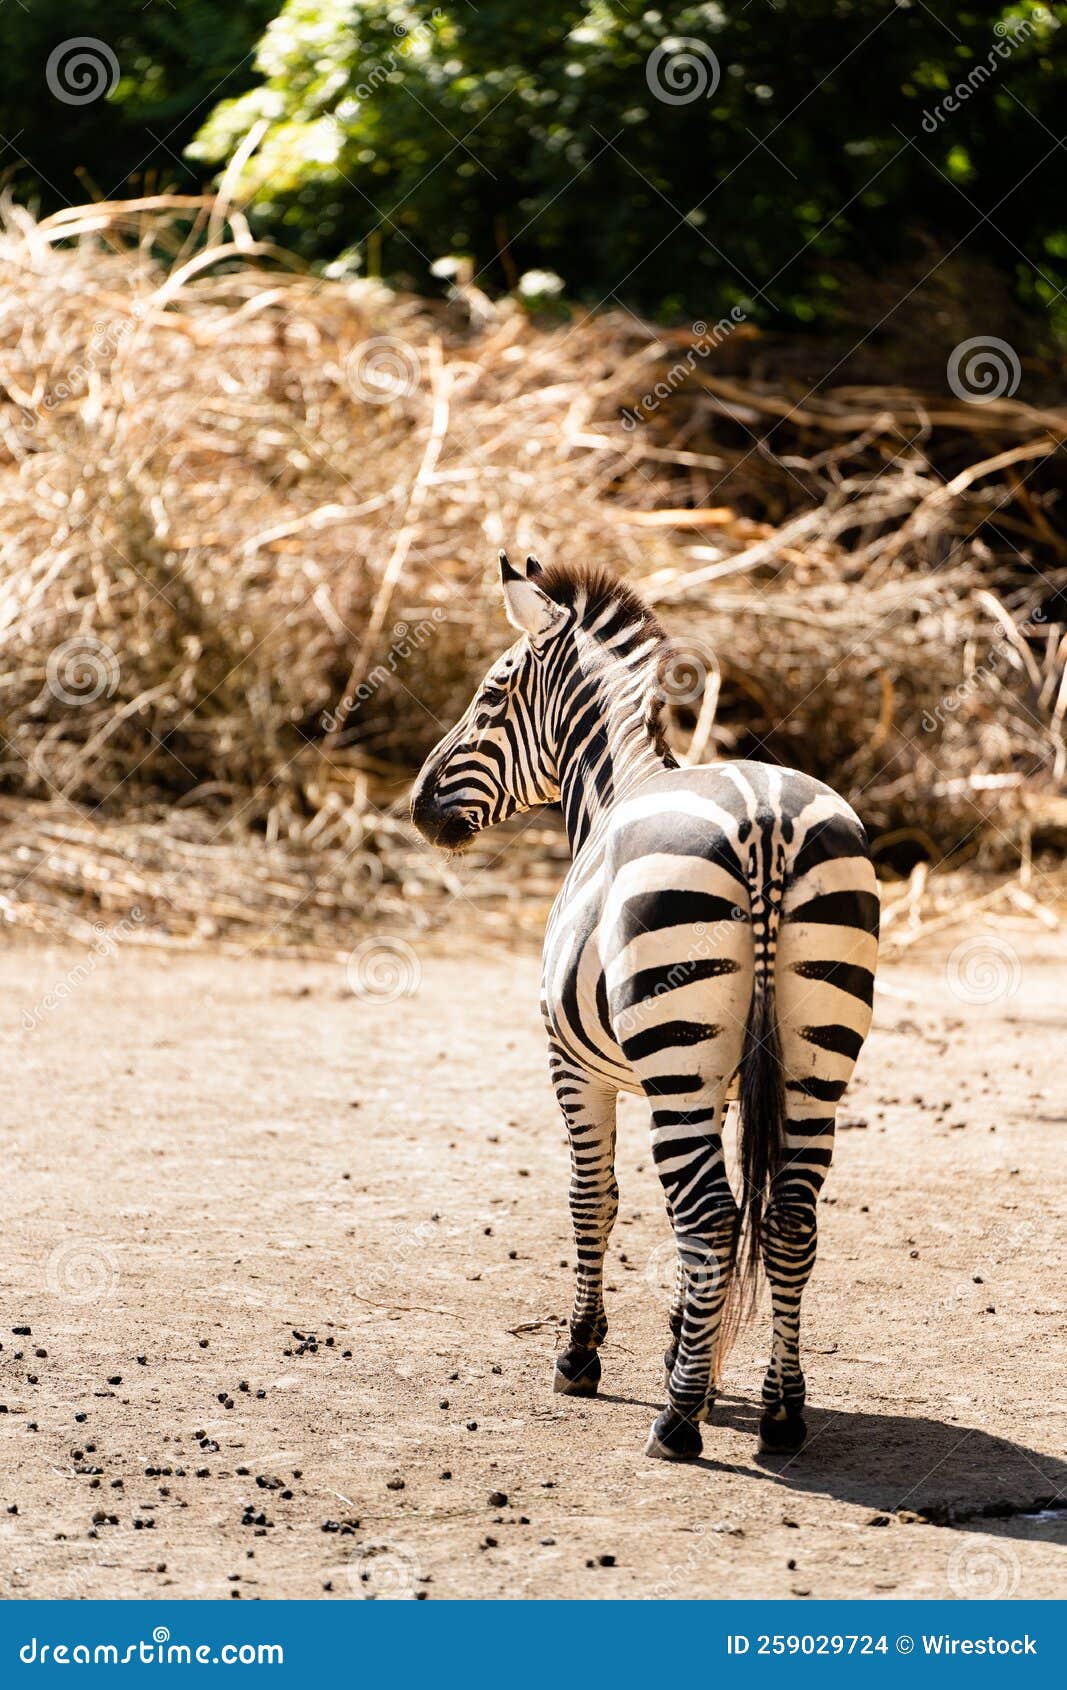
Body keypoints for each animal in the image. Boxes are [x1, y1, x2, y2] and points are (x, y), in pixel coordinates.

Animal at [410, 553, 879, 1461]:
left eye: (490, 694)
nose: (418, 807)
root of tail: (764, 817)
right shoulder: (728, 1082)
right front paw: (676, 1345)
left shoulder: (570, 1066)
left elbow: (593, 1199)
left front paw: (581, 1355)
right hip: (809, 1057)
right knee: (787, 1218)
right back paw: (781, 1413)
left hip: (674, 1055)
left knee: (708, 1216)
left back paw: (677, 1421)